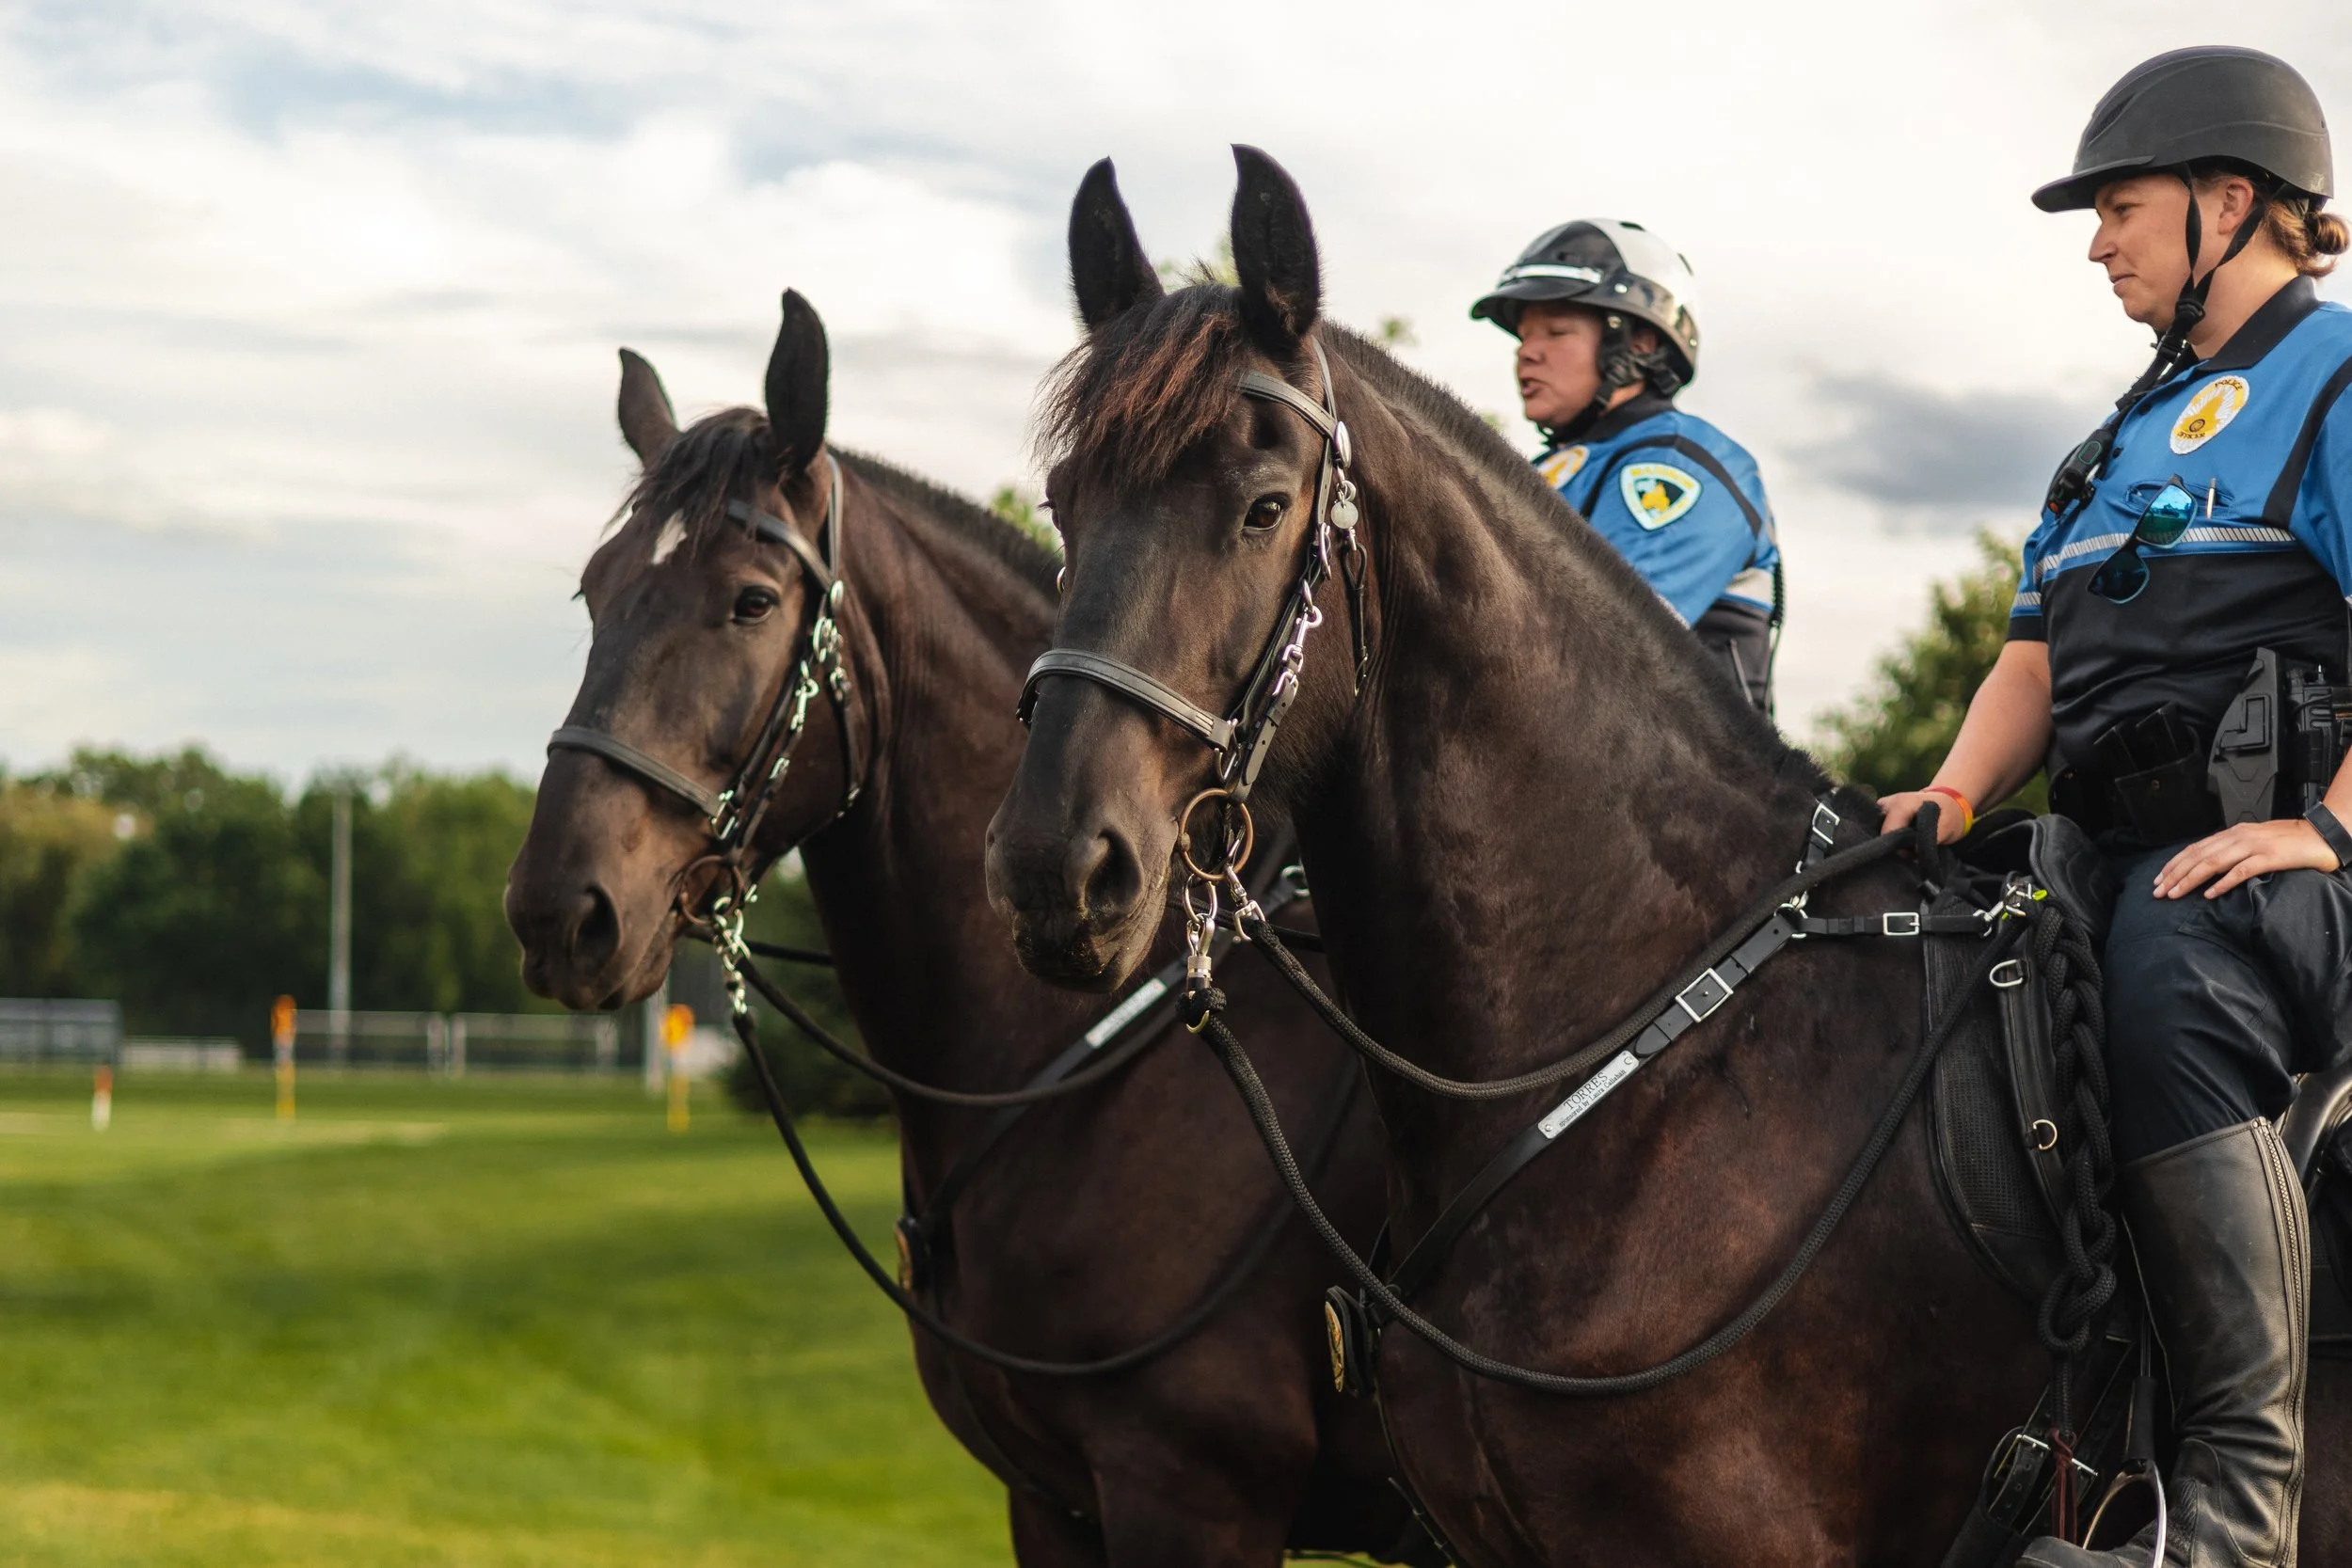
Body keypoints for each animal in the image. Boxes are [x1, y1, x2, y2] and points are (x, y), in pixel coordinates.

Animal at [502, 290, 1440, 1565]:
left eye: (751, 600)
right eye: (594, 593)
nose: (559, 908)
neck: (1088, 1056)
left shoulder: (1189, 1493)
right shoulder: (1046, 1498)